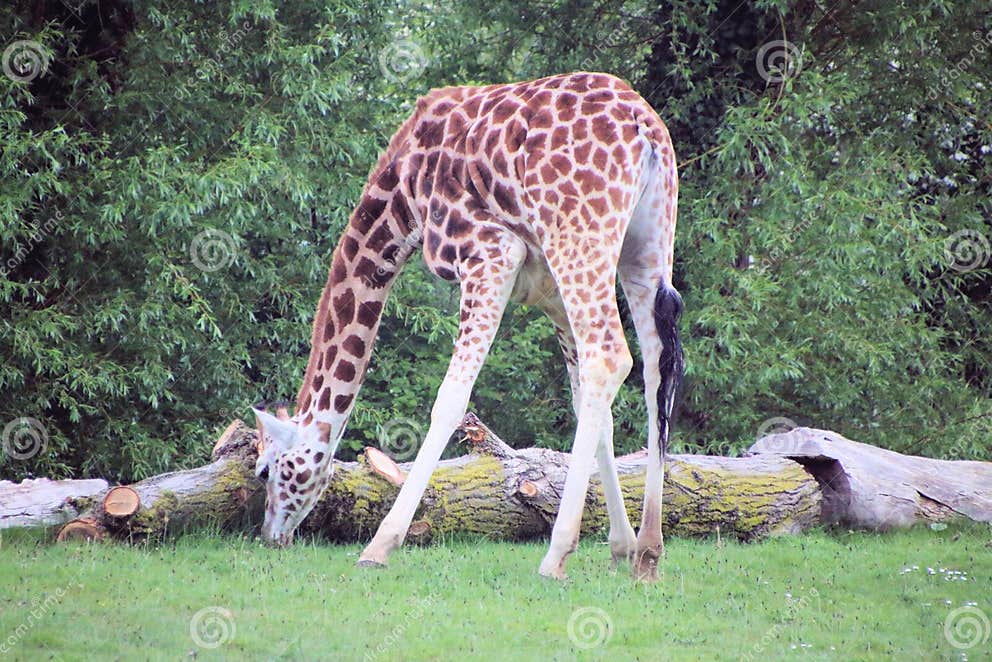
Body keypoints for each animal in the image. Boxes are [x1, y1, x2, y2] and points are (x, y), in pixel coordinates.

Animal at [252, 71, 683, 581]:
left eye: (266, 470)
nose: (270, 535)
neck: (404, 198)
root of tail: (644, 125)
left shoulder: (490, 254)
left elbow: (450, 400)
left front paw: (380, 544)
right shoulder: (549, 294)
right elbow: (592, 412)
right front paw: (620, 546)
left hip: (578, 237)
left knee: (610, 356)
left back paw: (555, 555)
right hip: (645, 244)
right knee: (655, 365)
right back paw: (649, 552)